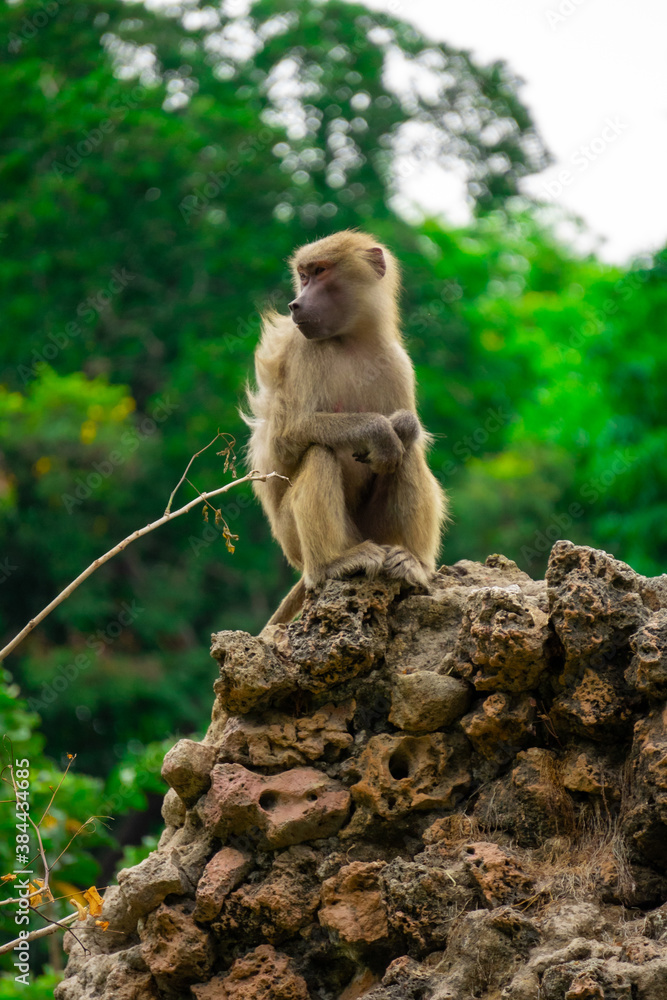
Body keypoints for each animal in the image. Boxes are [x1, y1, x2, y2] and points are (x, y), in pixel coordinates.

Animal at [245, 229, 448, 626]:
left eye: (320, 272)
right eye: (303, 275)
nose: (296, 304)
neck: (352, 339)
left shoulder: (398, 362)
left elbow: (409, 432)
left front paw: (401, 425)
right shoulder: (303, 350)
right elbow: (288, 435)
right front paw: (378, 431)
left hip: (377, 532)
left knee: (408, 454)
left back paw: (412, 563)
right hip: (299, 538)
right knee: (318, 451)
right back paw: (333, 564)